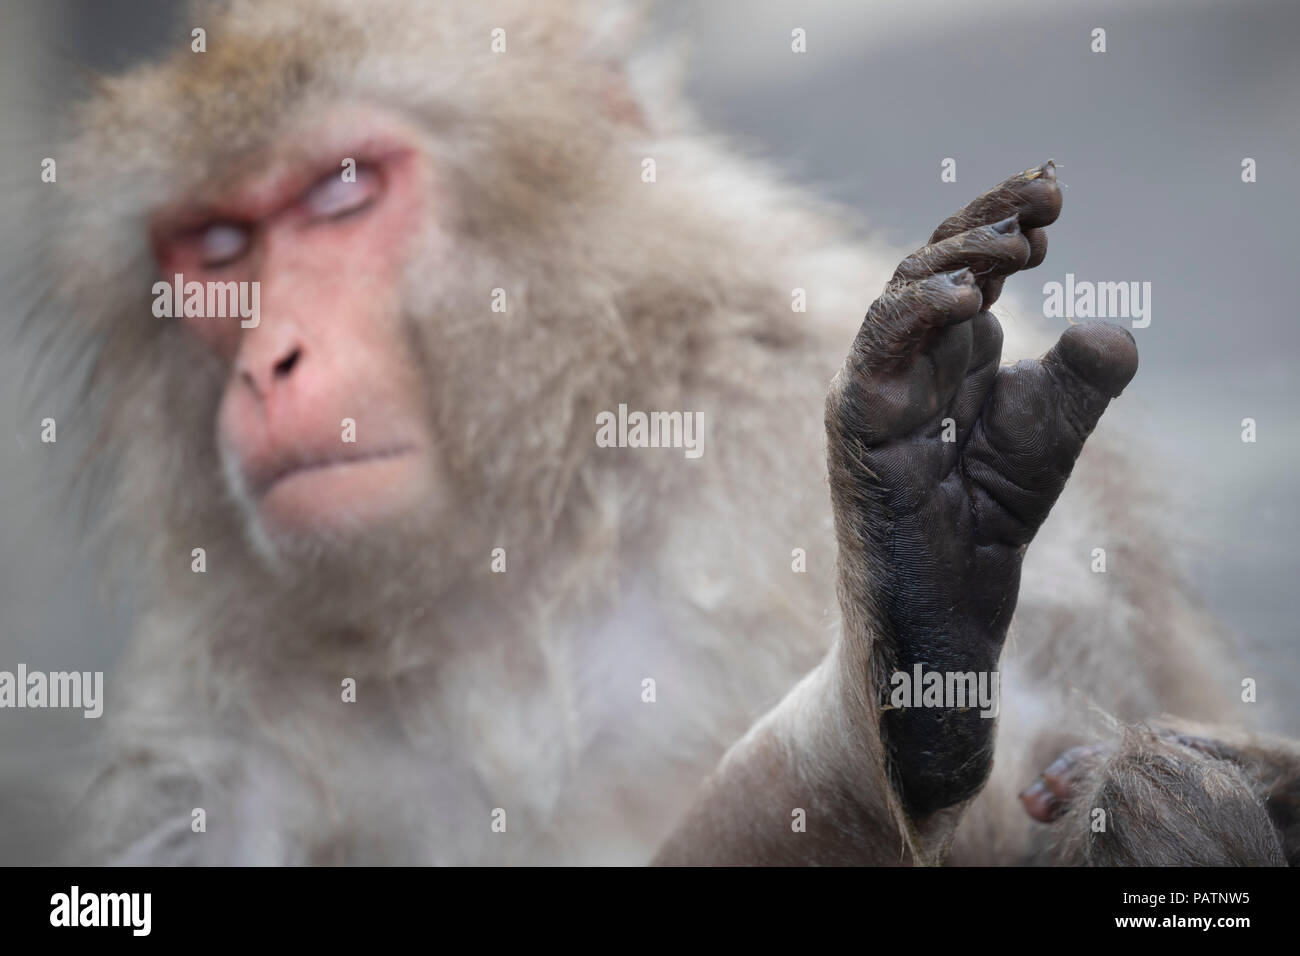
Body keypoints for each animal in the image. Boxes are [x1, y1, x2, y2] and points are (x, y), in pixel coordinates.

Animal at [20, 0, 1295, 866]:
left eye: (340, 190)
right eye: (215, 248)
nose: (269, 359)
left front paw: (900, 619)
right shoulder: (196, 743)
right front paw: (909, 598)